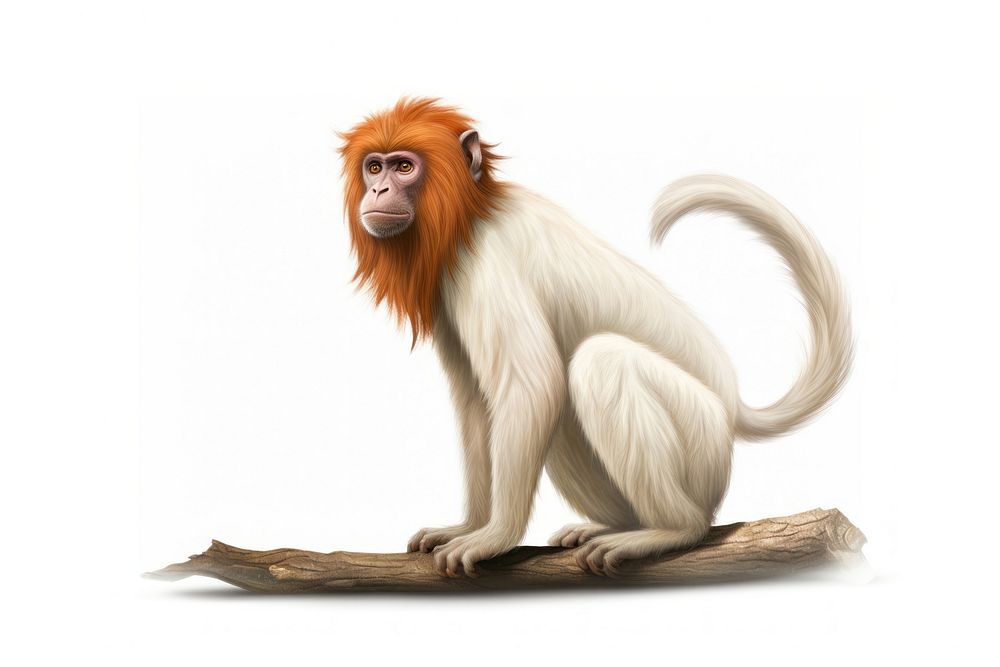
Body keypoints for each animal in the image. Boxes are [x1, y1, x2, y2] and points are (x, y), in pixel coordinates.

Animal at [338, 98, 852, 577]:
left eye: (404, 167)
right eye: (374, 167)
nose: (379, 189)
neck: (468, 214)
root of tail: (730, 403)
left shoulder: (483, 263)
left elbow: (532, 387)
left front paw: (495, 536)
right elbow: (475, 400)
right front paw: (469, 525)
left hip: (704, 448)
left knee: (600, 363)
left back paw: (672, 529)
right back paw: (618, 524)